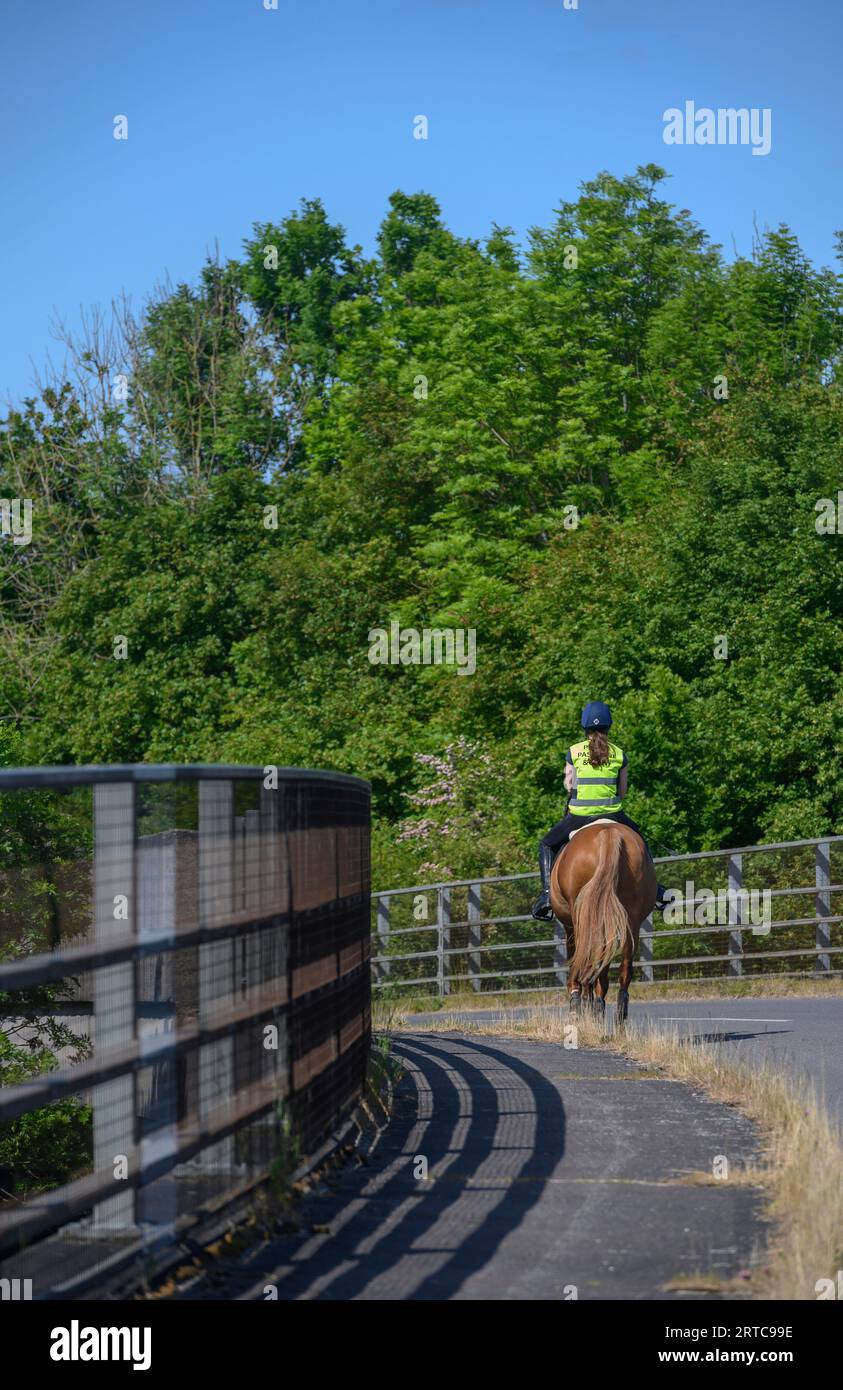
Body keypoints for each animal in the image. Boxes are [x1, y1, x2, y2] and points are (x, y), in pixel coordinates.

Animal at [549, 819, 656, 1025]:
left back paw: (584, 1005)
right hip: (629, 919)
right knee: (623, 967)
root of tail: (608, 834)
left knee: (588, 962)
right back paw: (617, 1015)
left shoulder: (571, 927)